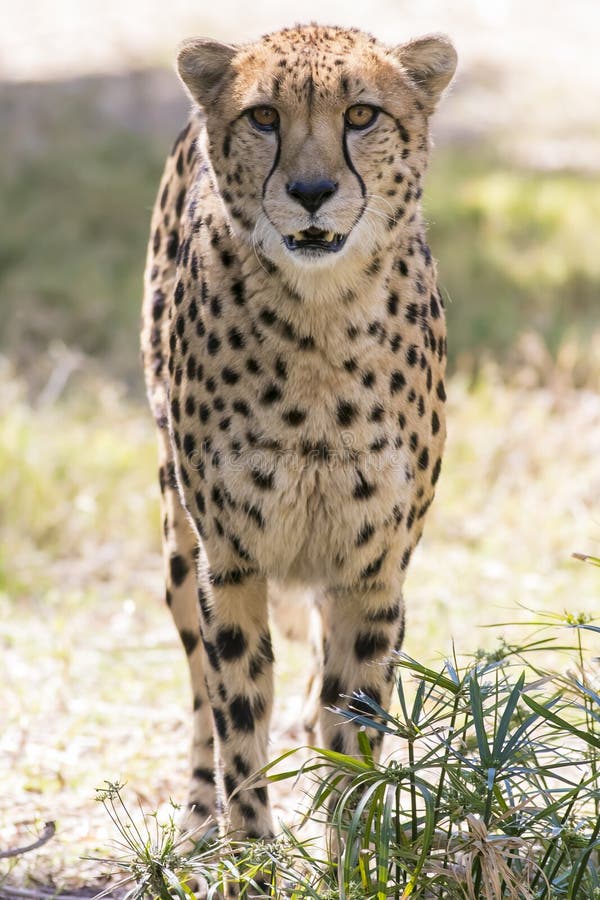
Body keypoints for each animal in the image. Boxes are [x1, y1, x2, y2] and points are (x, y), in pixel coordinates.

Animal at [140, 23, 456, 844]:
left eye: (361, 115)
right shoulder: (230, 561)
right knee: (200, 692)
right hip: (179, 543)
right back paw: (198, 821)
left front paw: (353, 848)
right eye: (263, 118)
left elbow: (355, 720)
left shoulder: (373, 569)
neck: (319, 321)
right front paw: (250, 848)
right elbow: (238, 713)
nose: (310, 193)